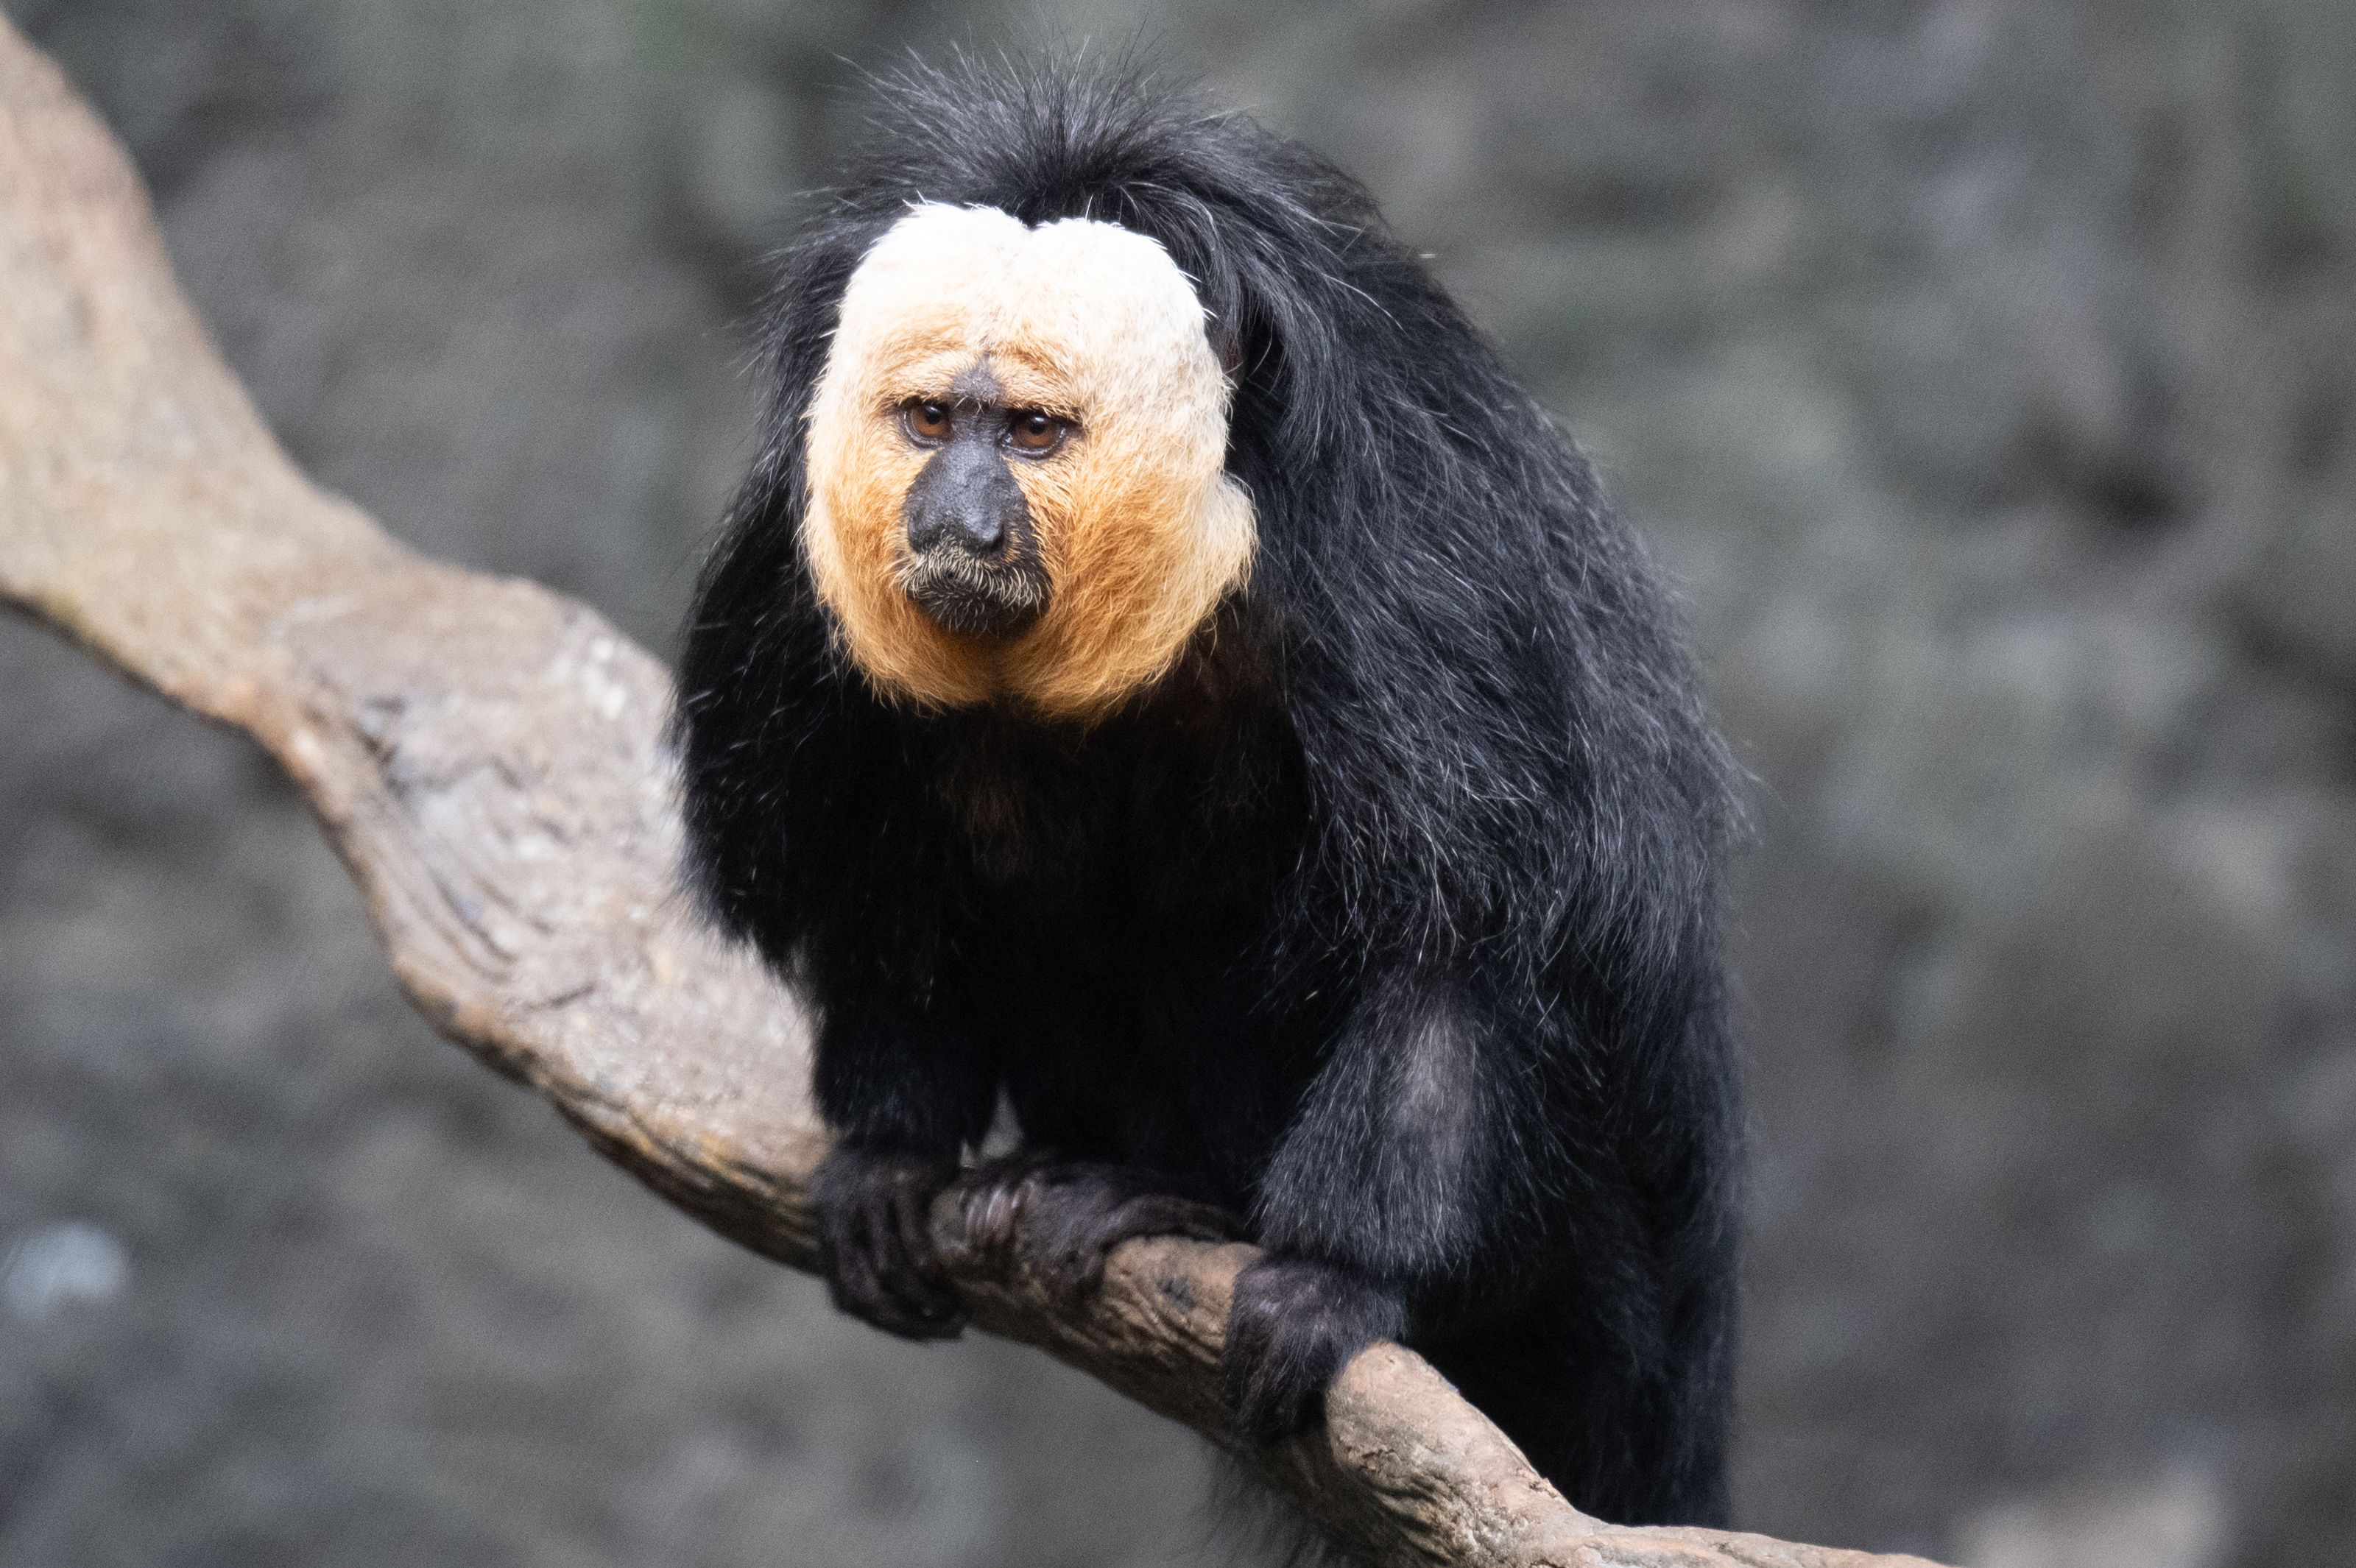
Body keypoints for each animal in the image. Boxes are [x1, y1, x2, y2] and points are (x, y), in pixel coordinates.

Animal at [673, 57, 1743, 1532]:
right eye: (932, 420)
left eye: (1033, 433)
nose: (954, 518)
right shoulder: (792, 594)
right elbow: (880, 897)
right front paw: (892, 1156)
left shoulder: (1414, 578)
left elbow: (1463, 947)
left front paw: (1335, 1276)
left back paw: (1183, 1207)